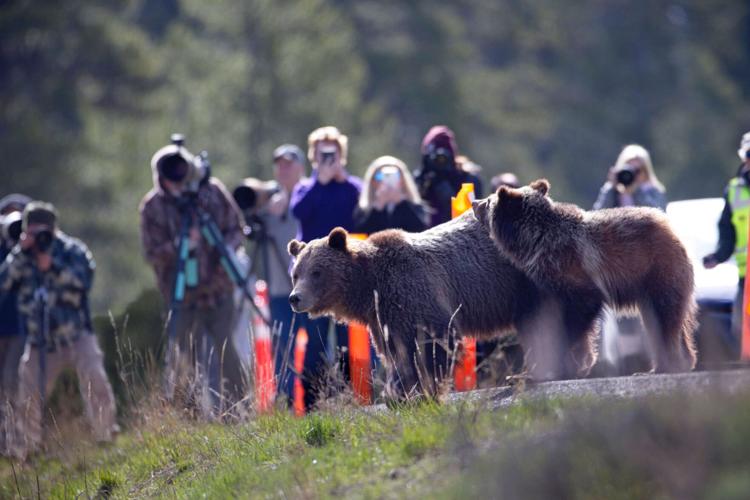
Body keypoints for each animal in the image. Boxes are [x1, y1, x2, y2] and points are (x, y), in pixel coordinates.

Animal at [287, 210, 598, 401]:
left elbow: (434, 342)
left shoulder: (415, 292)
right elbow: (397, 352)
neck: (369, 285)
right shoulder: (384, 317)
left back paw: (554, 368)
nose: (295, 298)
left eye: (317, 271)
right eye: (296, 273)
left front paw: (425, 387)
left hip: (536, 276)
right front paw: (400, 390)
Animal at [471, 179, 698, 373]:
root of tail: (672, 230)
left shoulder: (573, 270)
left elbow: (581, 310)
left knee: (663, 319)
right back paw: (680, 362)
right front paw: (577, 362)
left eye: (489, 200)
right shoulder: (552, 286)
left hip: (656, 270)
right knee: (665, 321)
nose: (474, 202)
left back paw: (663, 366)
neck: (535, 242)